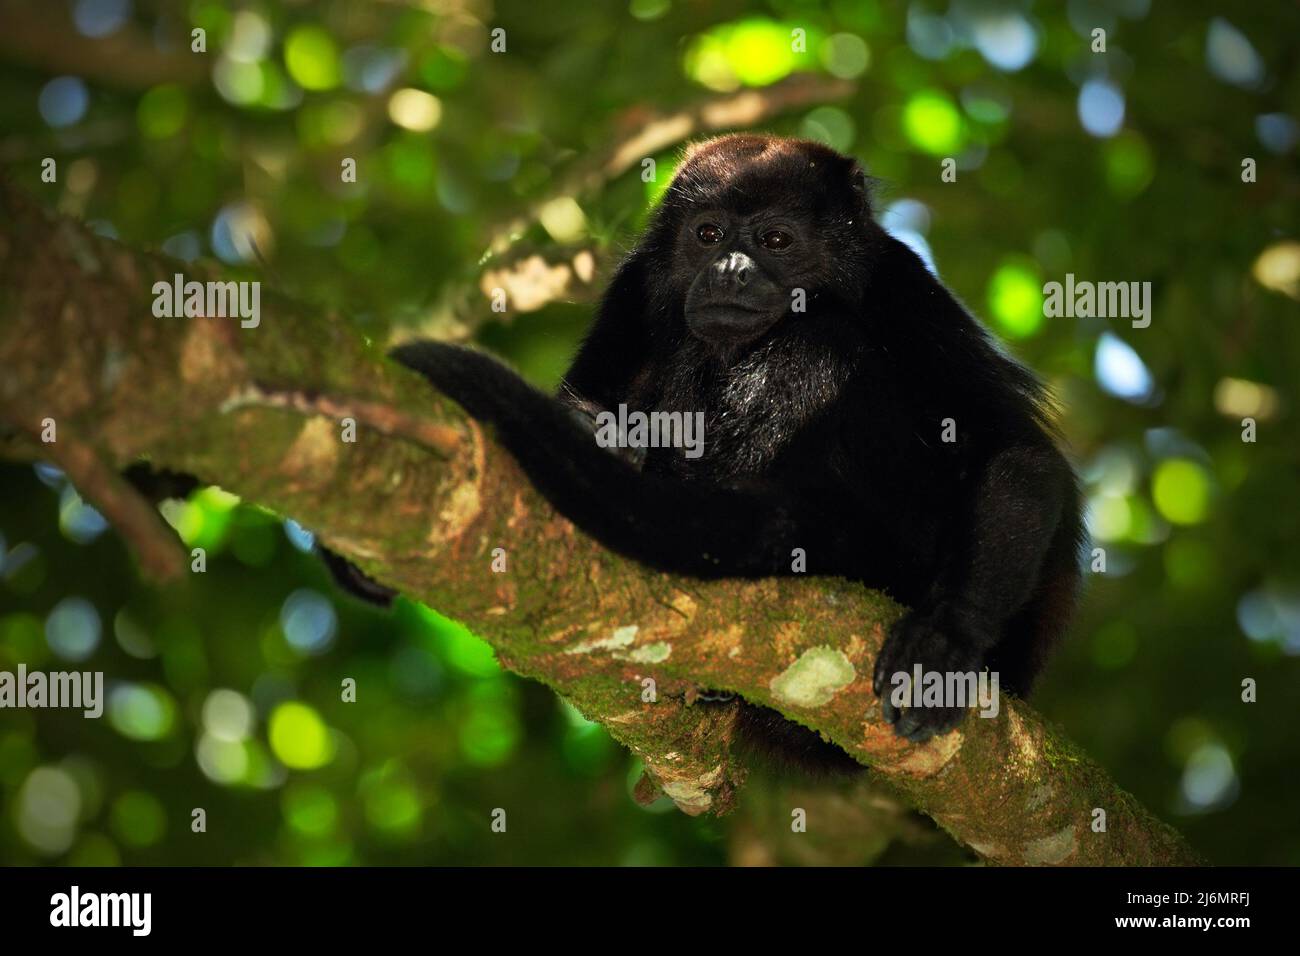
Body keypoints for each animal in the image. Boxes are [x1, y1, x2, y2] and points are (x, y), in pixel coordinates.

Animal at [370, 134, 1084, 764]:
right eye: (709, 235)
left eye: (775, 240)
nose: (730, 272)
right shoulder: (635, 283)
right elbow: (594, 396)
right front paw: (598, 435)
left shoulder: (901, 289)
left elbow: (1012, 449)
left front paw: (949, 633)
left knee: (818, 338)